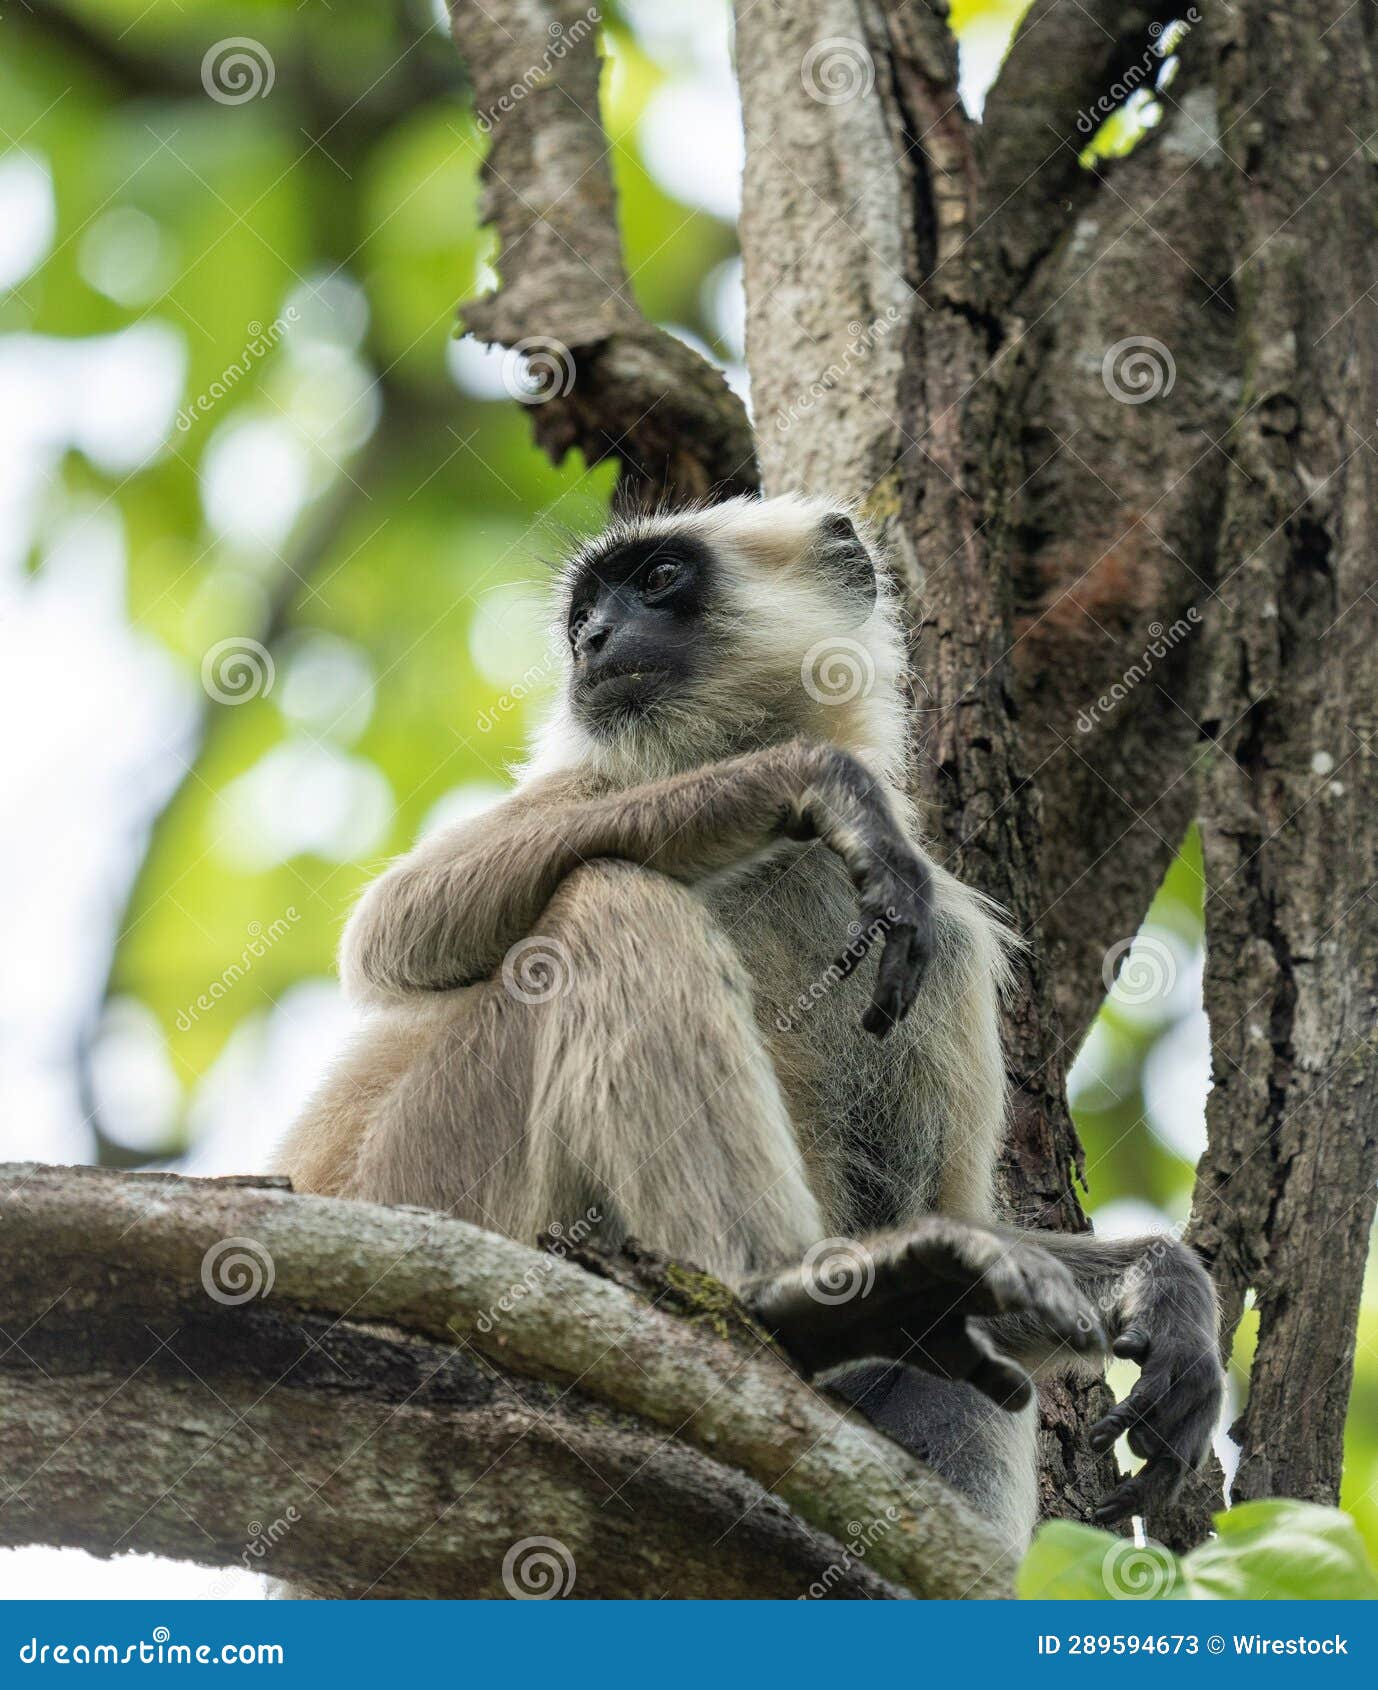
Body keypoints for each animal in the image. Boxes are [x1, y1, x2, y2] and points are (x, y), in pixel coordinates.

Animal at [278, 492, 1222, 1552]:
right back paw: (784, 1305)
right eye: (582, 617)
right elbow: (393, 927)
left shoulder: (943, 938)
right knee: (609, 893)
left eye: (656, 581)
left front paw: (1166, 1290)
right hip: (433, 1181)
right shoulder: (596, 786)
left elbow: (938, 1220)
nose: (594, 640)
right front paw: (812, 782)